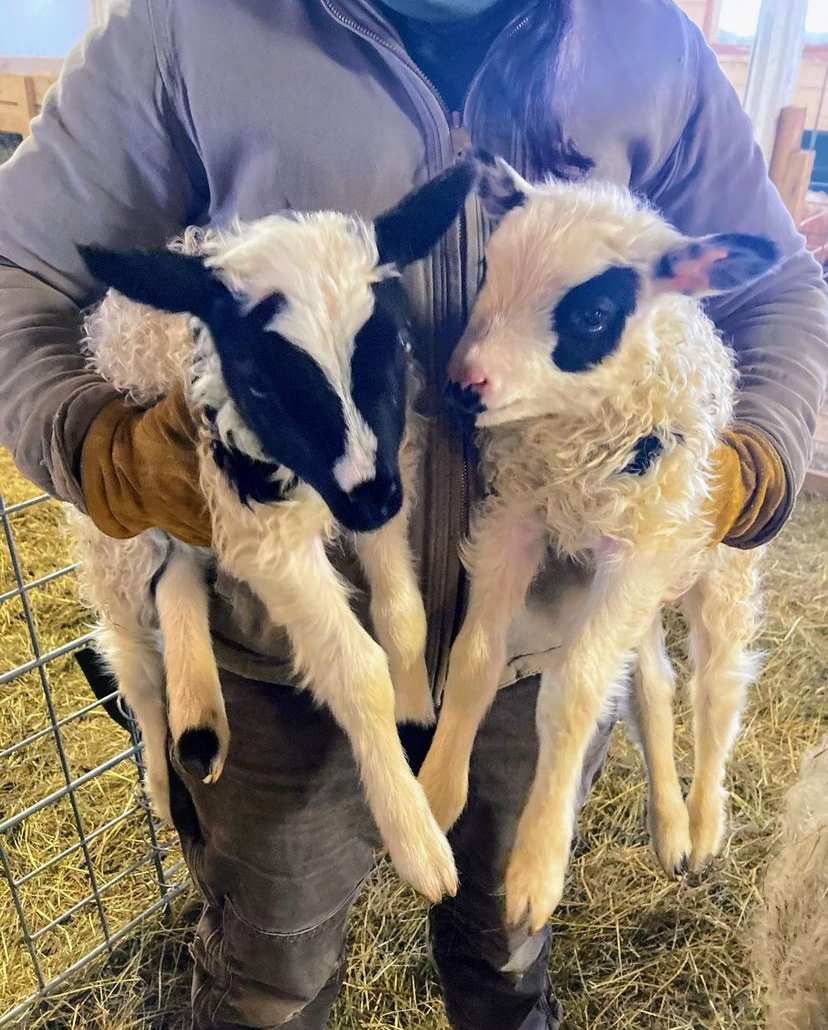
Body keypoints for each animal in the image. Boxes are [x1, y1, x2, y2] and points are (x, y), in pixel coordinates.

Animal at [71, 159, 477, 903]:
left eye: (398, 344)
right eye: (259, 384)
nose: (371, 501)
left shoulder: (387, 472)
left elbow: (404, 617)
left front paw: (413, 713)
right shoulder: (263, 531)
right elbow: (355, 670)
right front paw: (417, 841)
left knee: (179, 579)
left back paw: (200, 721)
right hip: (116, 529)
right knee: (132, 660)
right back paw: (162, 780)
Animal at [417, 153, 776, 930]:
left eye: (591, 313)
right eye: (488, 266)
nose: (461, 385)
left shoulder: (640, 550)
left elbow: (575, 691)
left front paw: (534, 871)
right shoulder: (517, 517)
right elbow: (476, 657)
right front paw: (434, 798)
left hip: (717, 563)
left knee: (716, 685)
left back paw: (705, 824)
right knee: (652, 686)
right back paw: (671, 832)